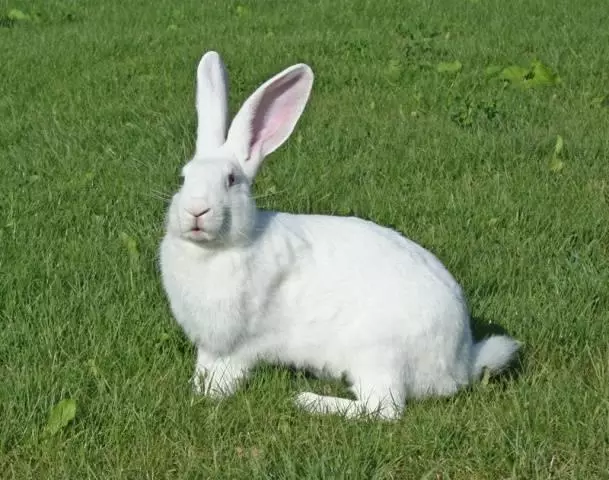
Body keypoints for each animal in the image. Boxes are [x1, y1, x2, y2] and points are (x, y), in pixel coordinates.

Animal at [158, 49, 516, 420]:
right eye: (184, 178)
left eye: (231, 180)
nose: (196, 211)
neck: (216, 250)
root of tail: (459, 362)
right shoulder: (209, 348)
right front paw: (195, 388)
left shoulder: (237, 348)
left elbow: (227, 375)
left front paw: (211, 395)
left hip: (377, 353)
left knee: (383, 408)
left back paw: (308, 400)